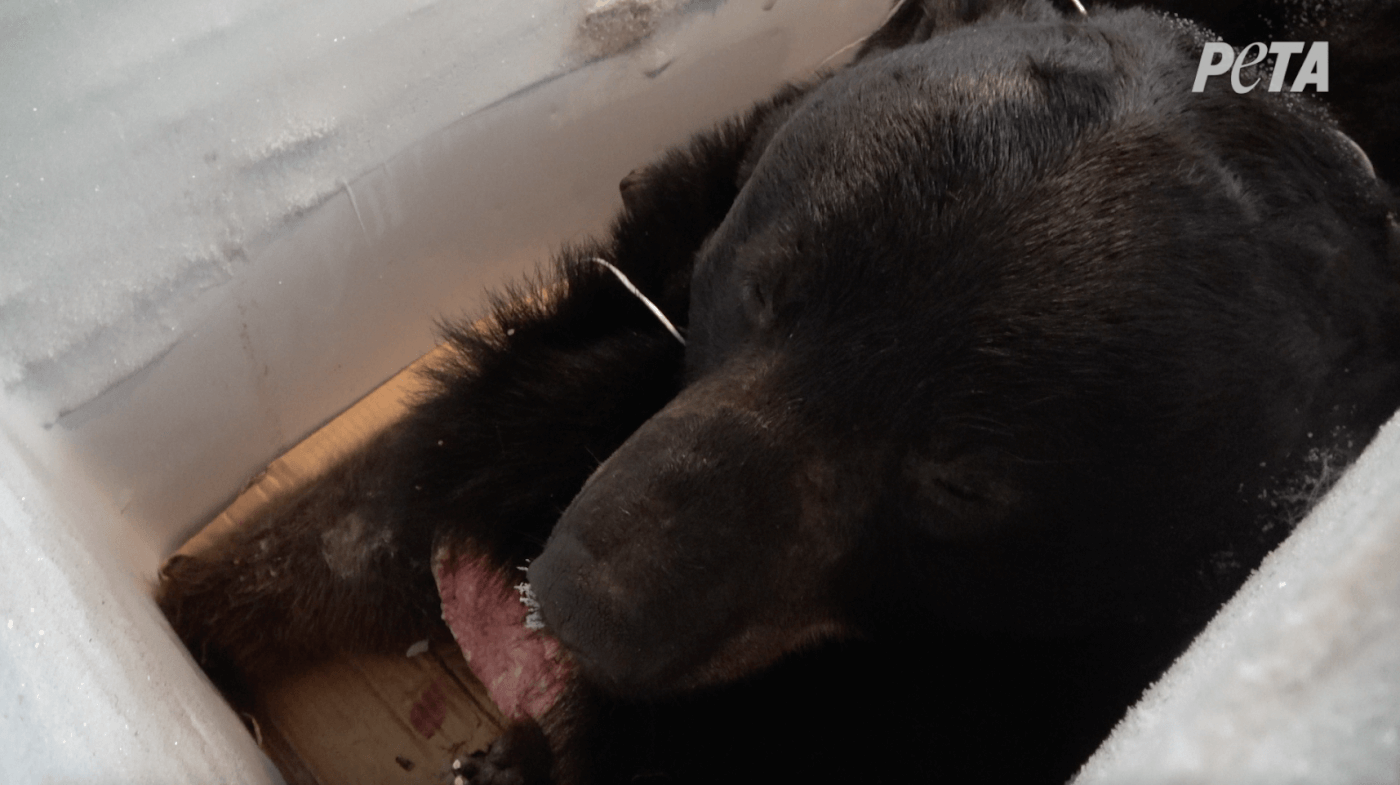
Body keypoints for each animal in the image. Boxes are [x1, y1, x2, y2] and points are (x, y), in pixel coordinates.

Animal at [157, 0, 1400, 783]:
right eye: (760, 287)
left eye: (961, 483)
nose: (577, 599)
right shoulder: (652, 279)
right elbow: (394, 490)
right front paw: (196, 613)